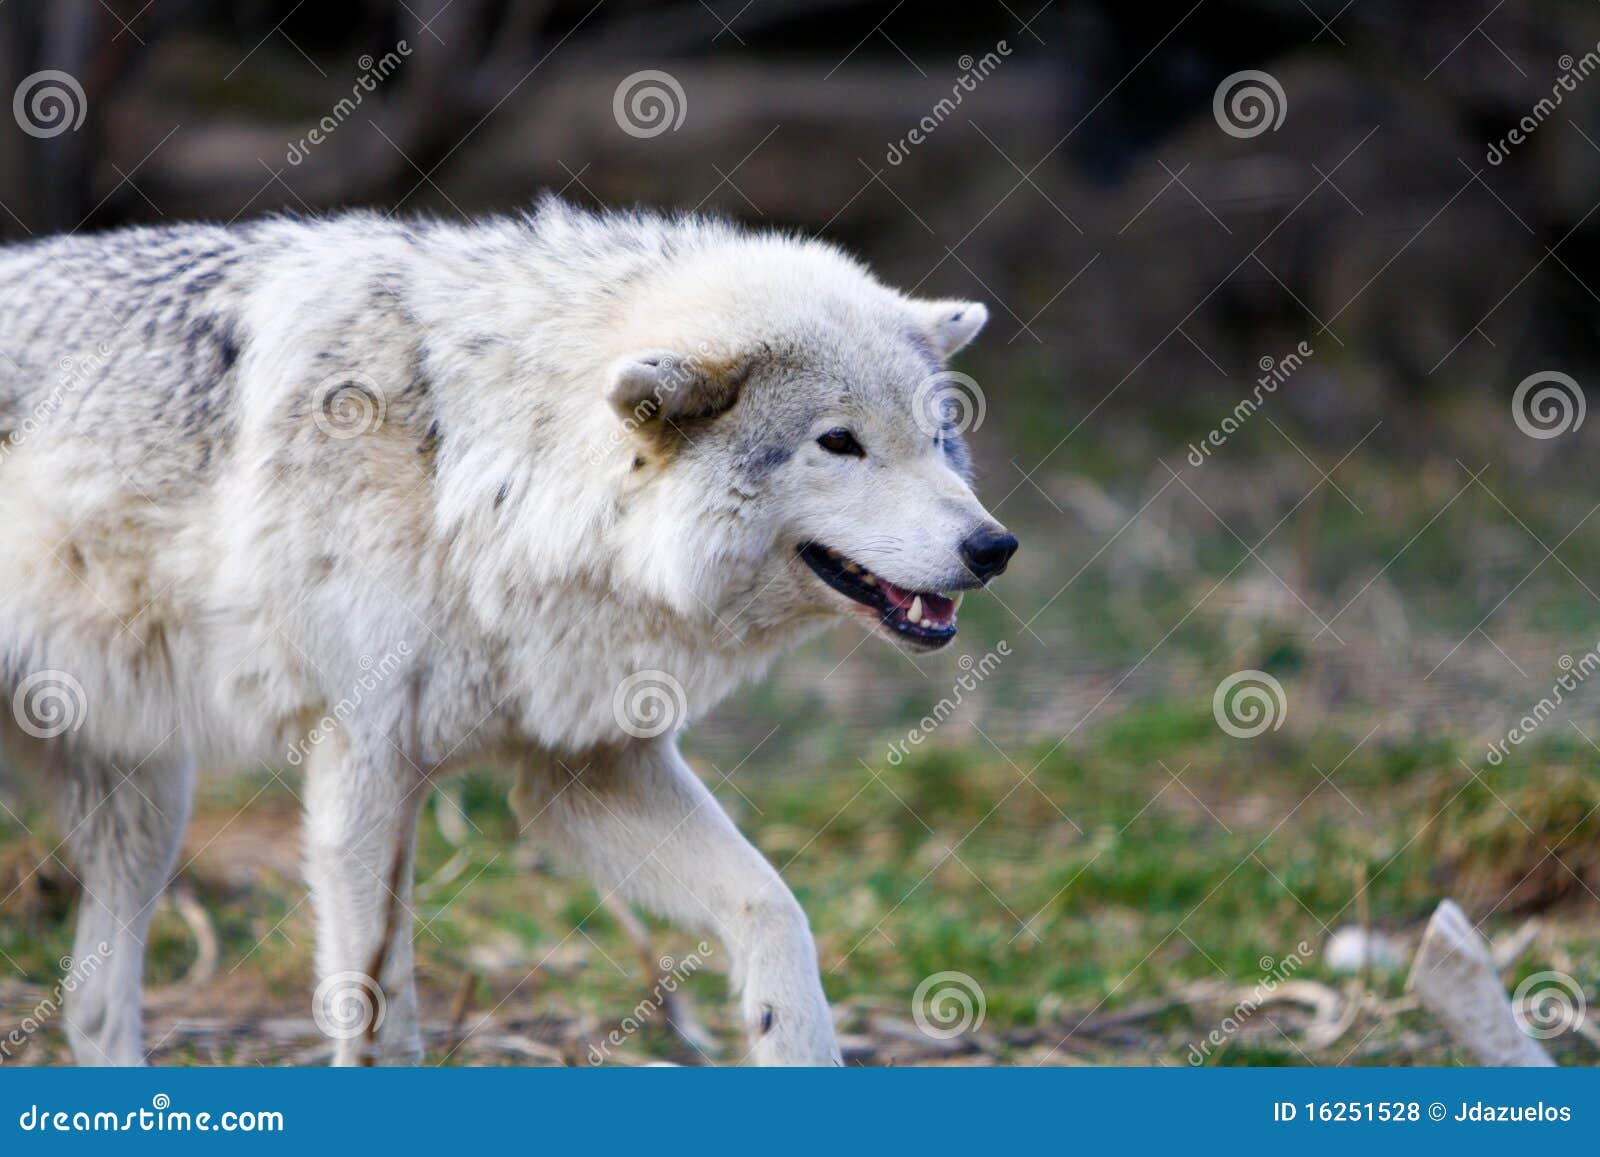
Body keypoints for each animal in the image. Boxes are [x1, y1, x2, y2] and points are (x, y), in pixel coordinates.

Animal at [0, 199, 1016, 1066]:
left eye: (939, 435)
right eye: (839, 442)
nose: (994, 547)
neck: (483, 467)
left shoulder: (582, 768)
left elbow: (776, 911)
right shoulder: (363, 772)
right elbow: (380, 1018)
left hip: (146, 809)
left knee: (91, 1013)